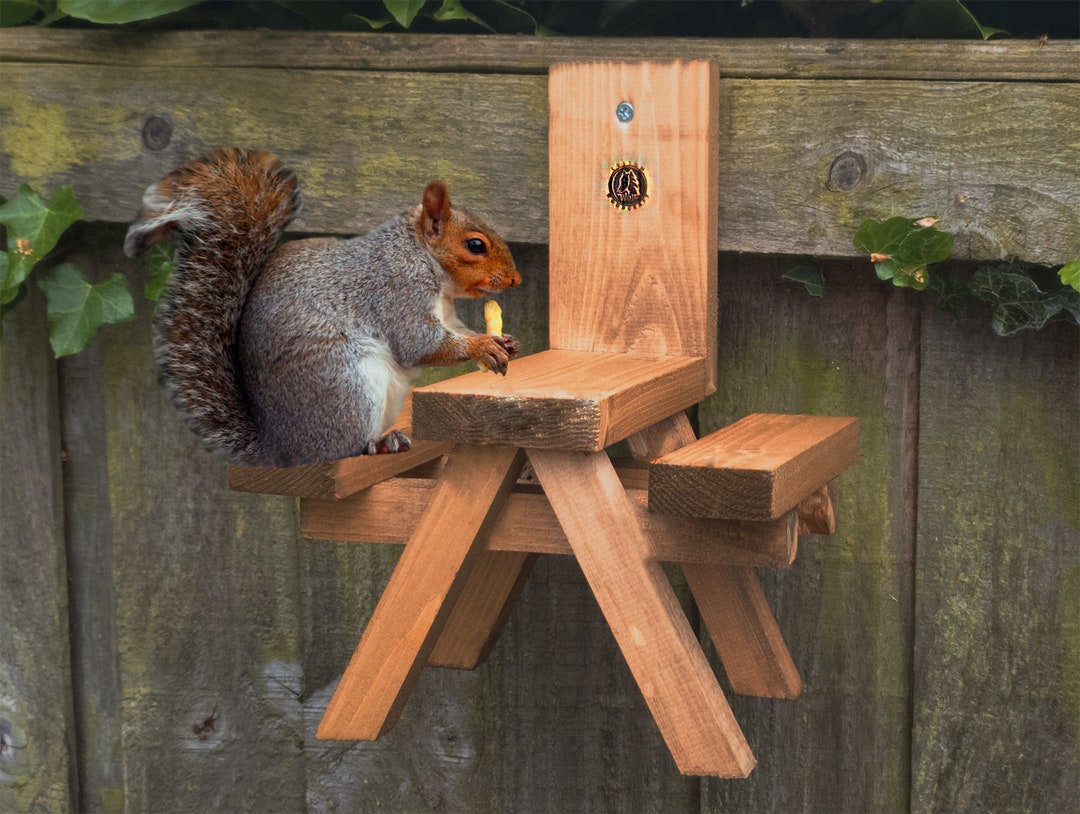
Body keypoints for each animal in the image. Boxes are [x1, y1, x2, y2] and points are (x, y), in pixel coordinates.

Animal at [123, 148, 521, 467]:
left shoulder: (446, 311)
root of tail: (279, 448)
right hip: (346, 386)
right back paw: (378, 444)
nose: (515, 279)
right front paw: (483, 346)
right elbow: (418, 342)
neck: (419, 252)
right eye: (475, 245)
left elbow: (455, 330)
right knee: (342, 449)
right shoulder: (399, 287)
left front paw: (504, 342)